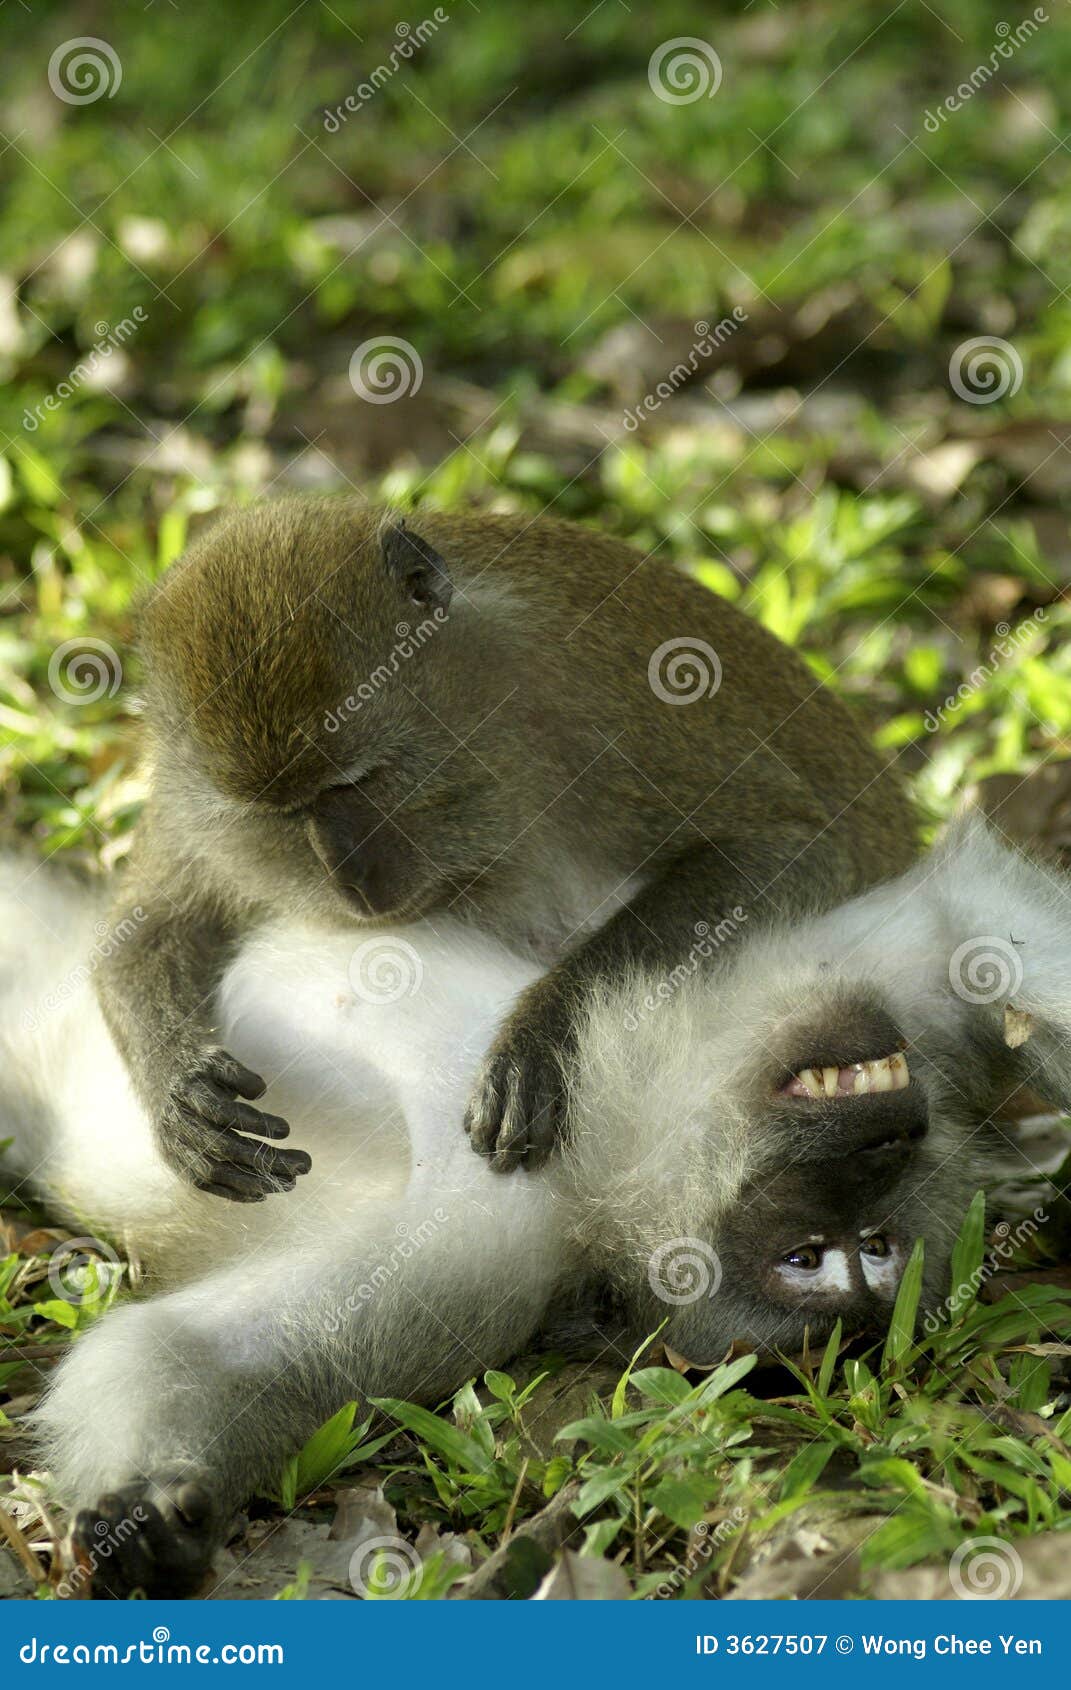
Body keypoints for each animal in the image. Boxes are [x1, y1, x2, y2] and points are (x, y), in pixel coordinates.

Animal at [1, 817, 1062, 1597]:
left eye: (864, 1252)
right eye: (812, 1256)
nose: (884, 1144)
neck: (575, 1147)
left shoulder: (479, 1258)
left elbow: (190, 1353)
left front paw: (150, 1520)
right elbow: (963, 928)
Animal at [91, 496, 918, 1201]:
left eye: (358, 781)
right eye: (286, 813)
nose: (352, 881)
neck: (478, 698)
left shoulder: (599, 689)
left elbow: (792, 843)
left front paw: (543, 1029)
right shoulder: (184, 778)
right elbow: (144, 932)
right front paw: (182, 1093)